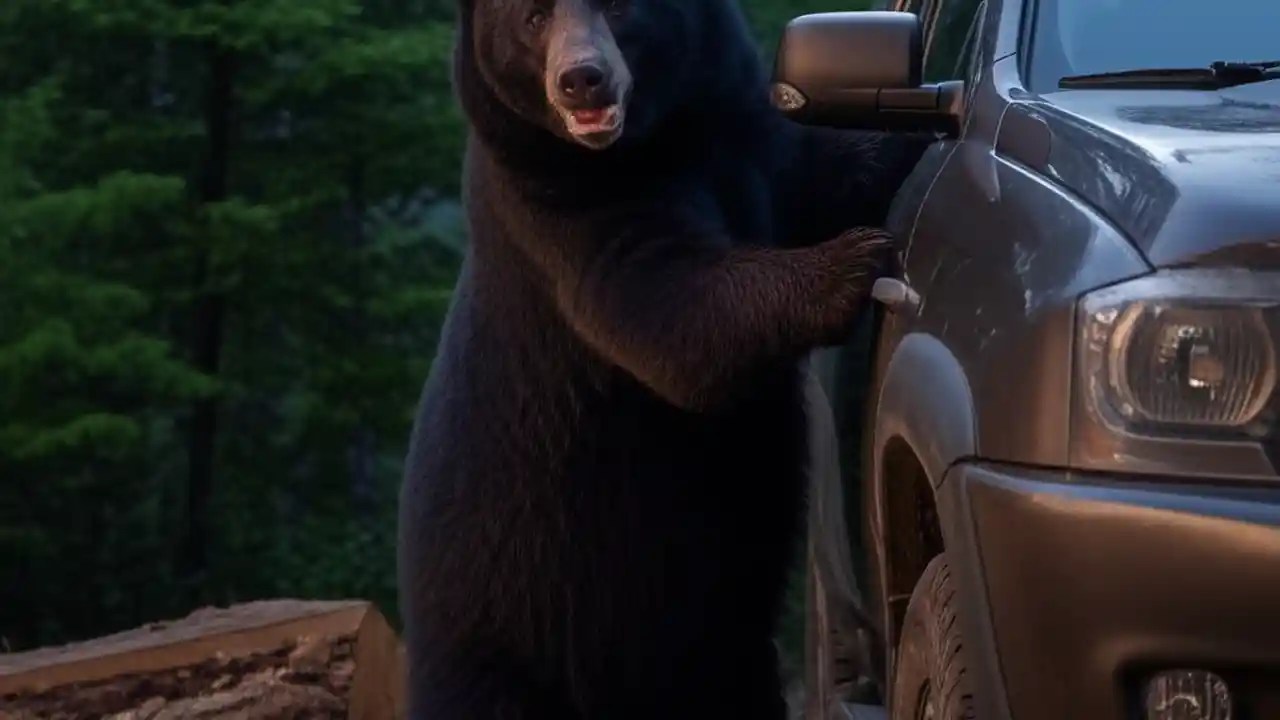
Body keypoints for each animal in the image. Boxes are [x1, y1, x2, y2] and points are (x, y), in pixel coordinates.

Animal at [397, 0, 931, 718]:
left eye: (620, 8)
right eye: (533, 19)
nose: (581, 80)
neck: (658, 141)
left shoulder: (744, 139)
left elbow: (828, 170)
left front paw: (915, 136)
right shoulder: (560, 211)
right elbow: (674, 313)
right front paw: (853, 260)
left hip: (717, 651)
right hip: (505, 641)